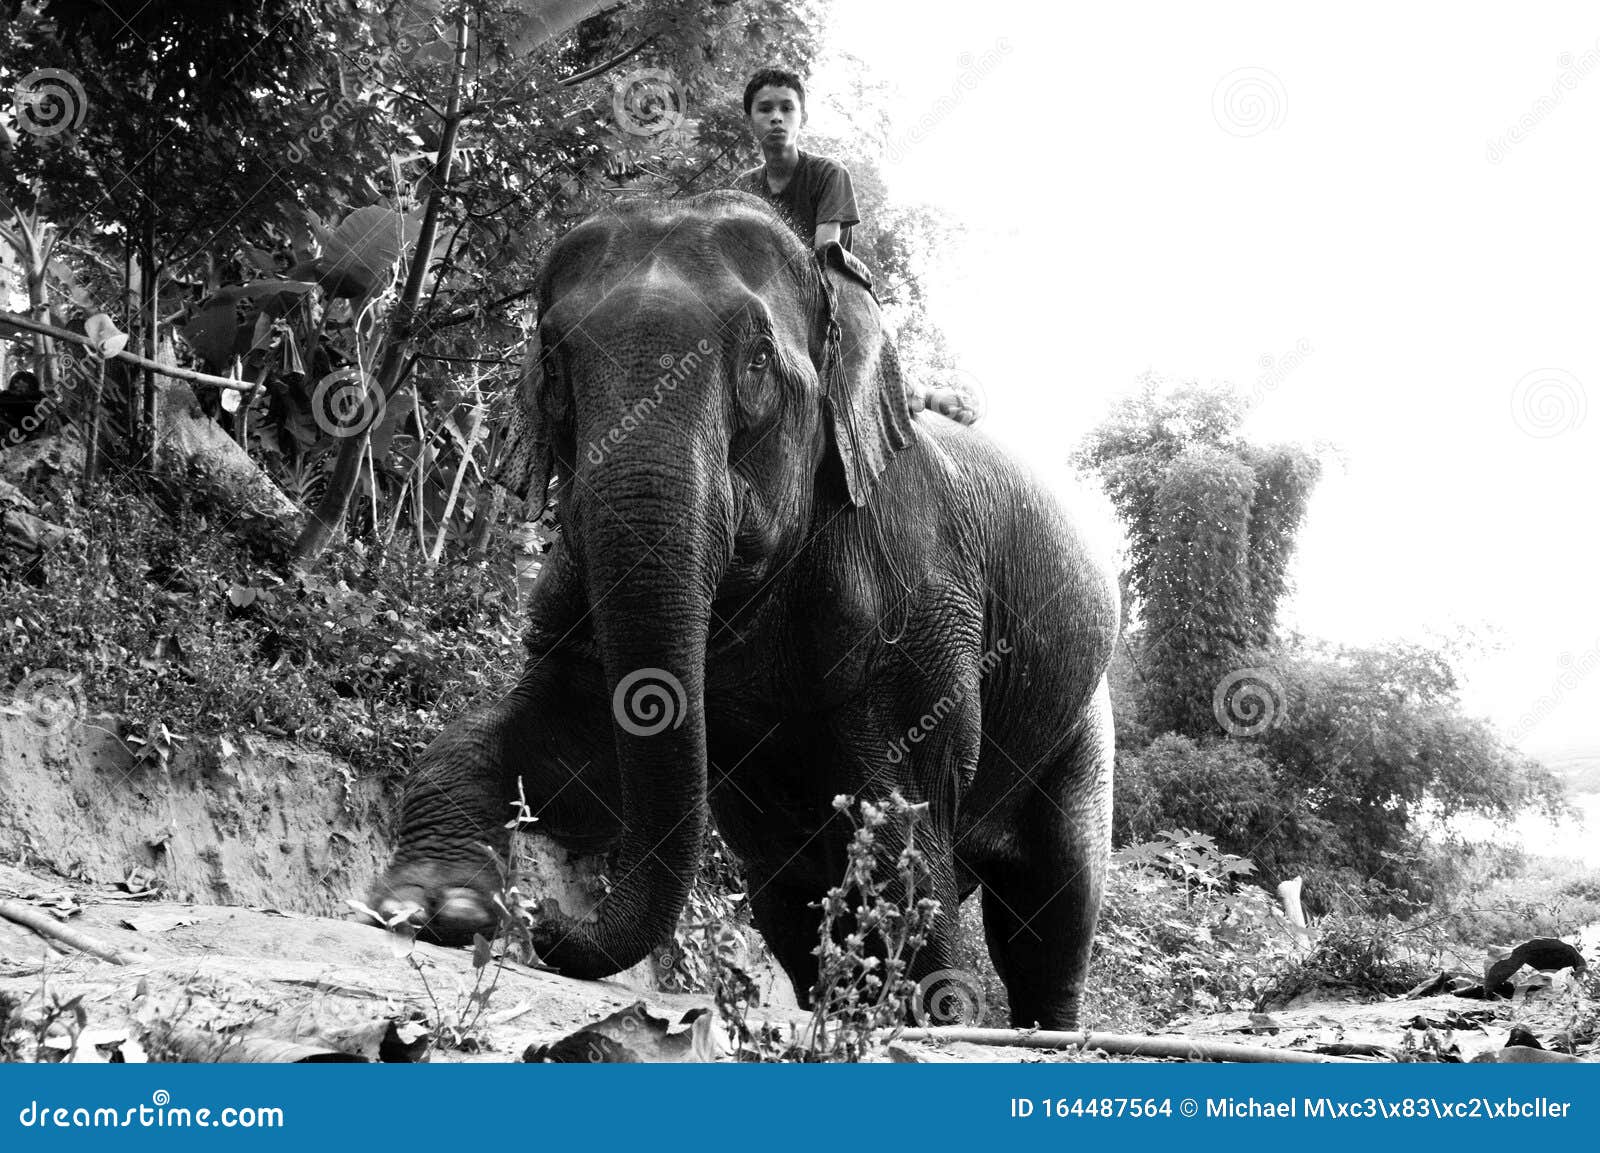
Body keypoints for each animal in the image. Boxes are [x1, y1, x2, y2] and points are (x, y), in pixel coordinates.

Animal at [365, 190, 1118, 1030]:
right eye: (553, 364)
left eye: (758, 360)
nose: (542, 923)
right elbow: (564, 742)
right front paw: (436, 908)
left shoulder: (921, 599)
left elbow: (903, 812)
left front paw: (940, 1012)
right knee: (791, 902)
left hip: (1085, 730)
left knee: (1053, 907)